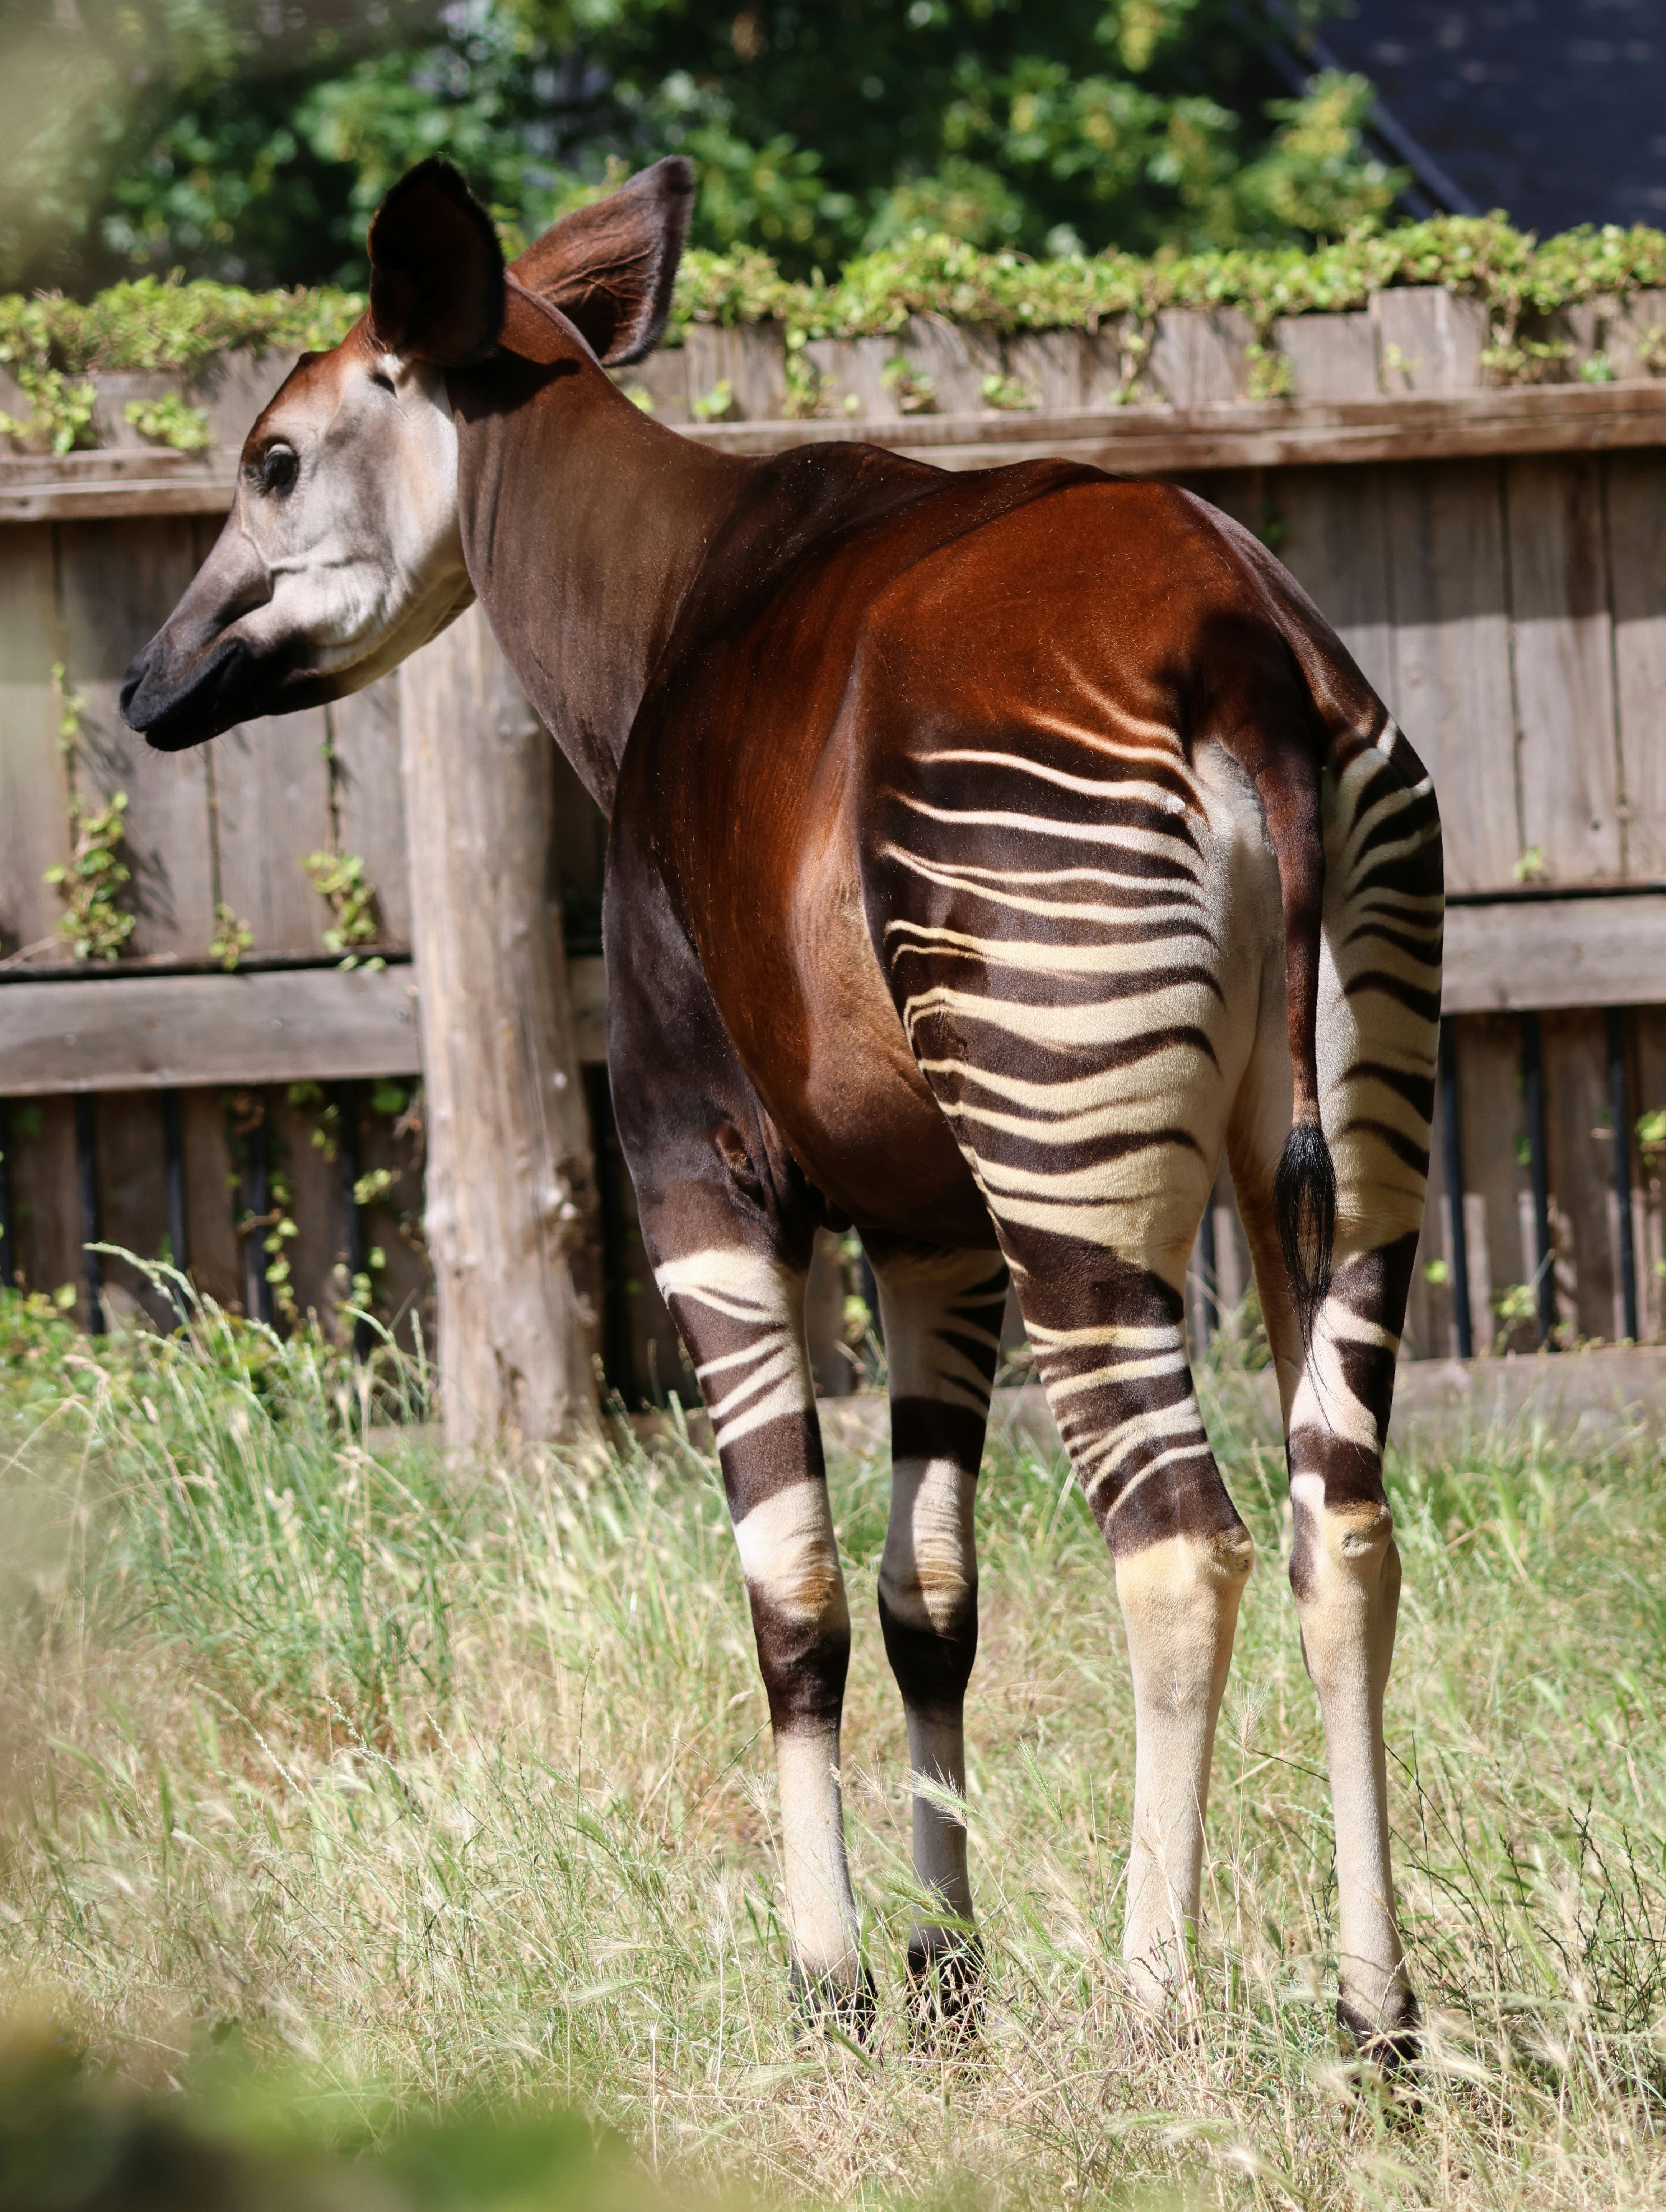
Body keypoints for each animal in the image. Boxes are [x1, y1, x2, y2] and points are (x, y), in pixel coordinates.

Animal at [122, 155, 1442, 2059]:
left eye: (274, 460)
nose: (144, 687)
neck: (663, 608)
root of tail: (1247, 656)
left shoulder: (700, 1169)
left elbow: (791, 1595)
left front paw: (831, 1978)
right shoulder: (928, 1222)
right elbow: (929, 1599)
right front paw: (948, 1970)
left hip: (1070, 1179)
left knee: (1180, 1544)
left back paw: (1152, 2009)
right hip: (1342, 1158)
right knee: (1339, 1523)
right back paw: (1375, 2020)